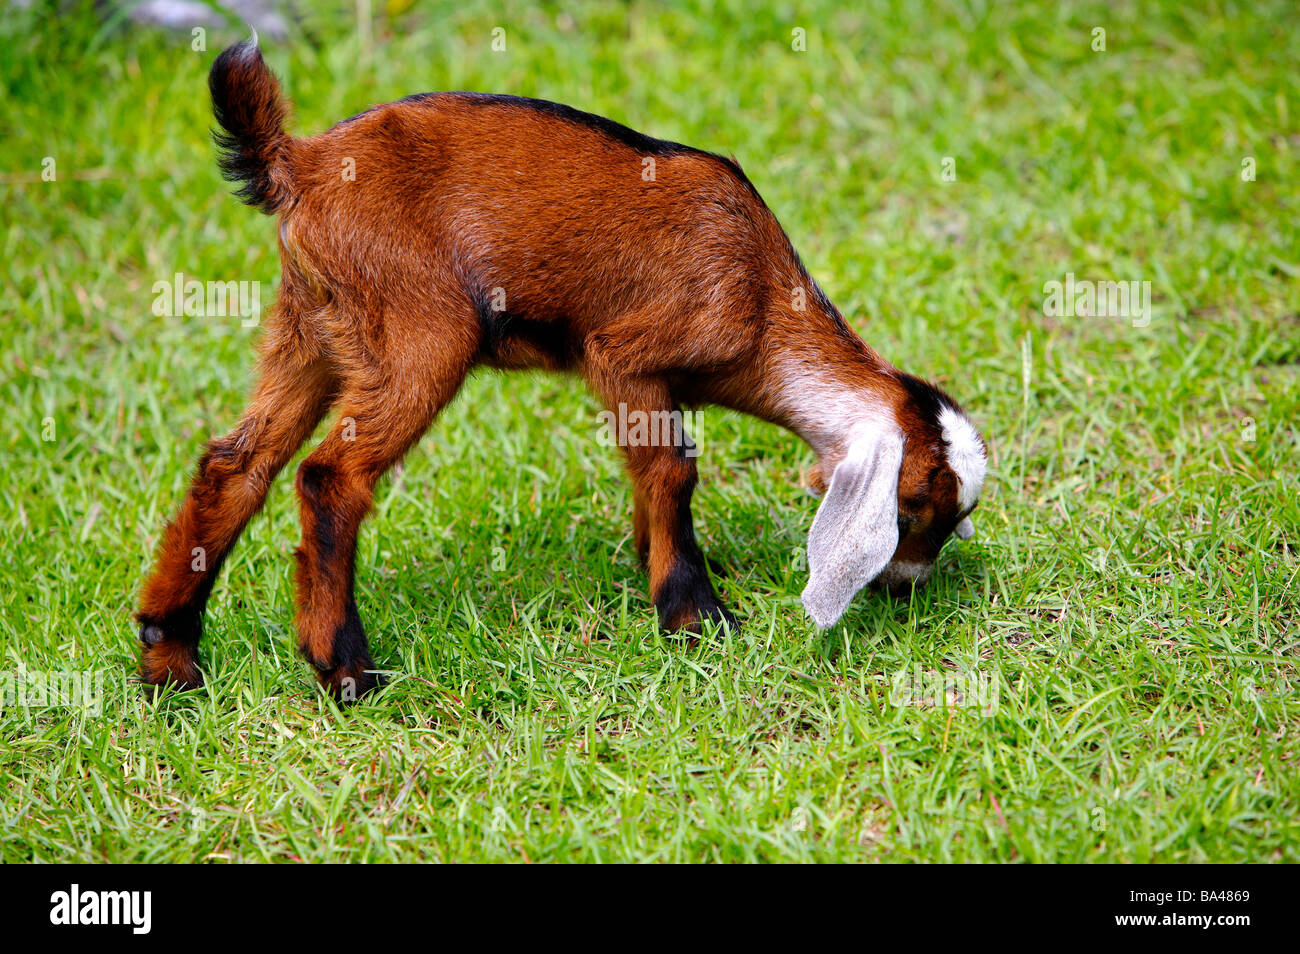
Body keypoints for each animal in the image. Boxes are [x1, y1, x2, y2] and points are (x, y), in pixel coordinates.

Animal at [136, 39, 988, 700]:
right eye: (915, 507)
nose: (909, 588)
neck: (763, 295)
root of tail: (302, 160)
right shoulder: (626, 353)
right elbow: (673, 471)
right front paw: (694, 616)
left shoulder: (642, 386)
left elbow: (648, 471)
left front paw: (654, 564)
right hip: (418, 331)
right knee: (328, 478)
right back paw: (344, 669)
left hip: (309, 331)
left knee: (235, 463)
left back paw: (168, 655)